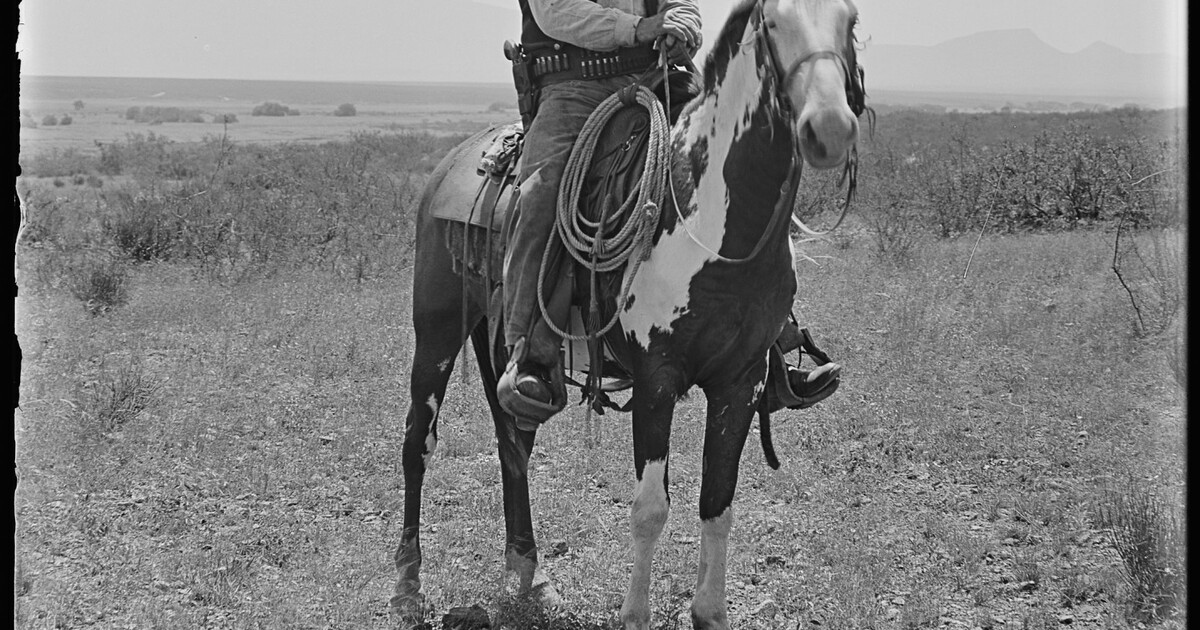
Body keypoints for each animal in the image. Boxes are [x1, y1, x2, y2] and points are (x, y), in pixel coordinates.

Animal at [391, 1, 866, 628]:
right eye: (771, 25)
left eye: (852, 22)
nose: (830, 127)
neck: (710, 224)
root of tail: (454, 162)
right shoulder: (656, 377)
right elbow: (650, 508)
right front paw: (635, 613)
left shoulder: (739, 381)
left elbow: (718, 503)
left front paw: (709, 613)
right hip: (438, 329)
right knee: (417, 441)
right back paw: (407, 584)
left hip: (498, 345)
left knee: (513, 438)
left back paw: (531, 577)